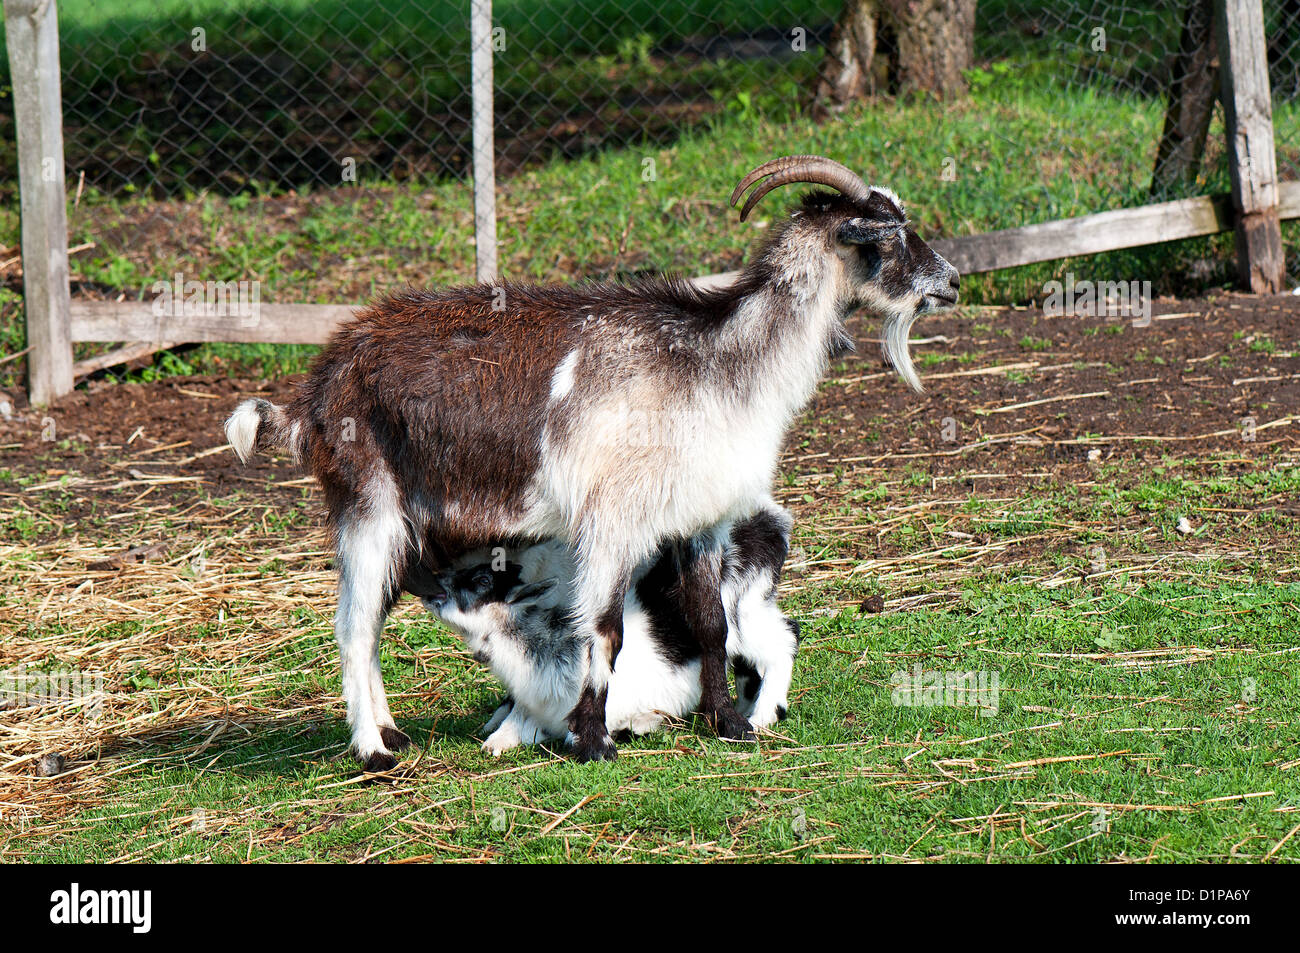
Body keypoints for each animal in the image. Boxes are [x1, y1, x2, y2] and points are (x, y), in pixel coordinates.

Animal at [422, 502, 799, 754]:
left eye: (483, 581)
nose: (430, 588)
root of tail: (772, 519)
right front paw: (495, 739)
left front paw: (642, 725)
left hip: (745, 611)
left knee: (784, 640)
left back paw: (763, 716)